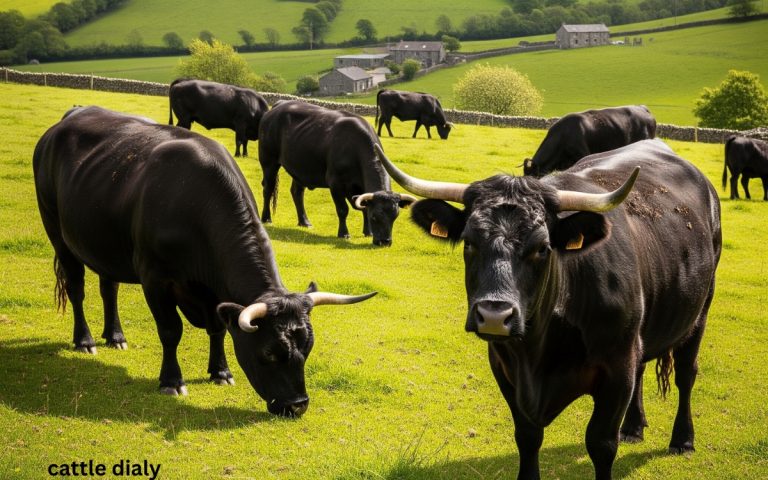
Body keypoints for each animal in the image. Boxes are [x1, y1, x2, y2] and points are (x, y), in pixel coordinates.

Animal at [33, 106, 376, 417]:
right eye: (269, 352)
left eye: (307, 348)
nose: (297, 406)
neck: (195, 204)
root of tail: (66, 121)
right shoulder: (155, 279)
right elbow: (170, 330)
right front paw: (172, 381)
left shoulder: (214, 292)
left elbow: (218, 329)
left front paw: (221, 372)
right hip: (57, 232)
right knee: (77, 289)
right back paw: (85, 340)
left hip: (105, 244)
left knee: (109, 289)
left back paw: (115, 336)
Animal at [258, 100, 417, 246]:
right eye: (375, 217)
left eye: (394, 217)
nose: (385, 242)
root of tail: (279, 105)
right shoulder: (336, 184)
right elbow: (342, 209)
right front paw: (344, 233)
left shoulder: (359, 188)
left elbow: (363, 207)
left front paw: (368, 232)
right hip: (269, 162)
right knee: (267, 189)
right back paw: (266, 219)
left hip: (300, 168)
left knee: (297, 192)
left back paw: (304, 221)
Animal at [375, 139, 721, 479]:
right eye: (469, 242)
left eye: (542, 248)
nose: (494, 316)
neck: (539, 350)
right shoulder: (505, 367)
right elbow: (527, 437)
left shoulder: (617, 367)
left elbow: (601, 443)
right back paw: (633, 428)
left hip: (700, 312)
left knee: (686, 374)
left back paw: (682, 440)